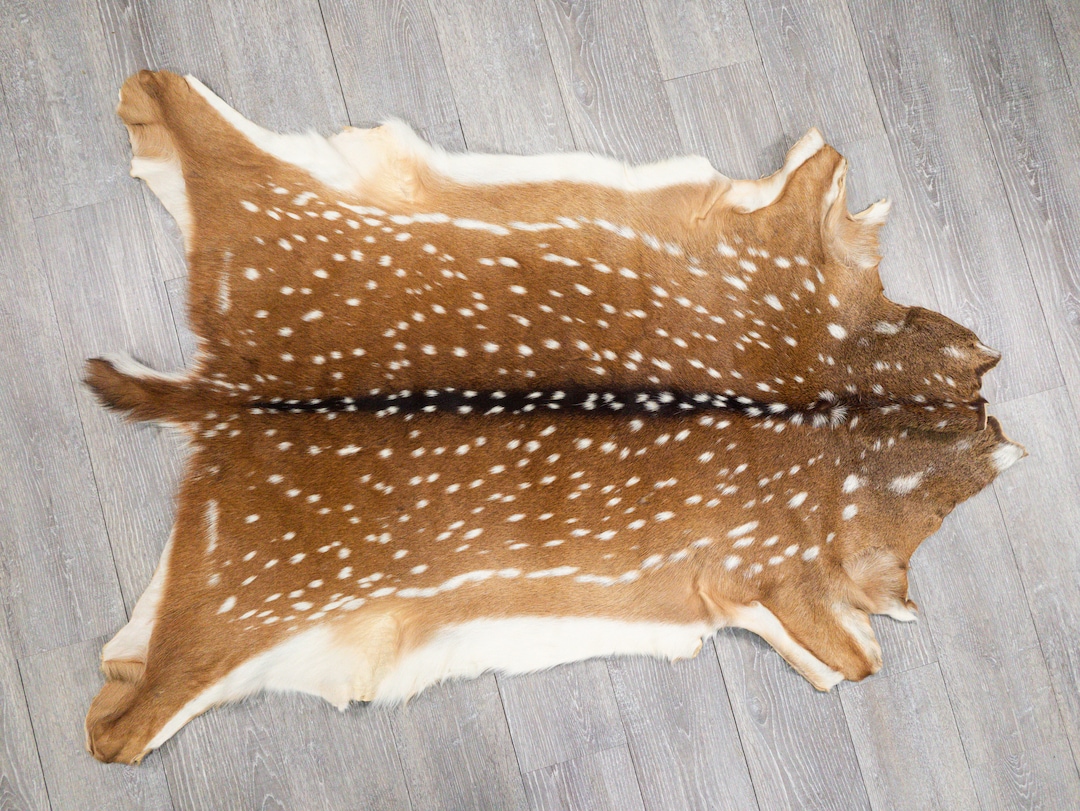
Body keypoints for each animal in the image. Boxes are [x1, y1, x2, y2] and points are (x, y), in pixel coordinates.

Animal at [81, 71, 1022, 763]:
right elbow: (851, 658)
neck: (842, 406)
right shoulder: (791, 579)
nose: (994, 413)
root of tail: (214, 392)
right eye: (977, 356)